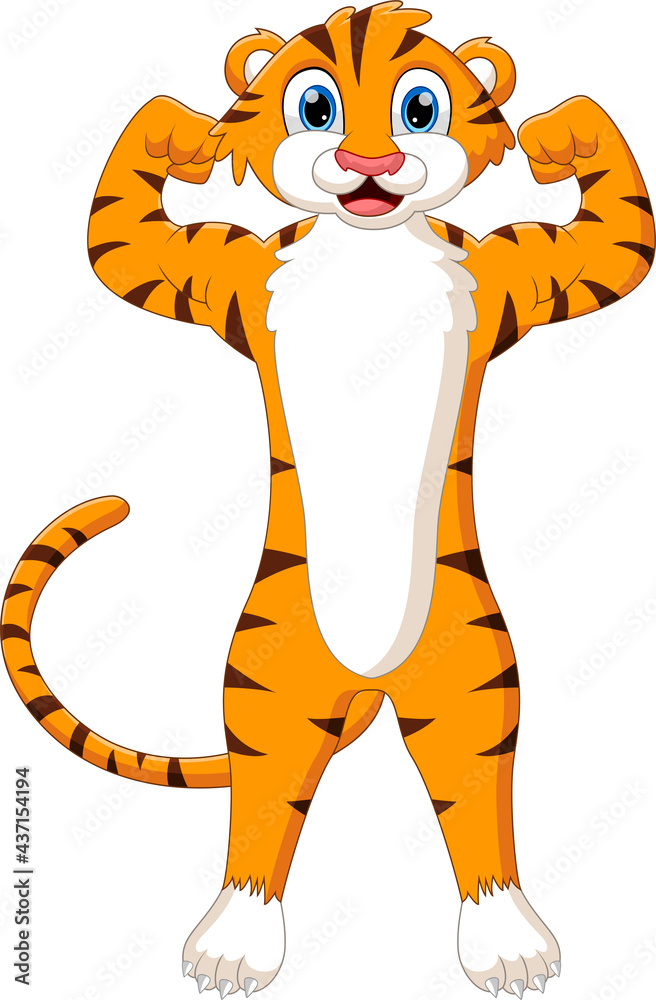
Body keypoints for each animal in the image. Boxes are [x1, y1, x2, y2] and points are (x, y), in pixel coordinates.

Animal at [2, 3, 653, 997]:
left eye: (420, 108)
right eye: (316, 107)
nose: (369, 164)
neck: (368, 247)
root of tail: (370, 681)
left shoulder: (520, 277)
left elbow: (613, 245)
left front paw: (565, 133)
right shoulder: (221, 276)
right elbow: (127, 242)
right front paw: (174, 132)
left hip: (466, 666)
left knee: (473, 781)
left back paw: (505, 935)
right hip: (272, 670)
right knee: (268, 794)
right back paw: (236, 939)